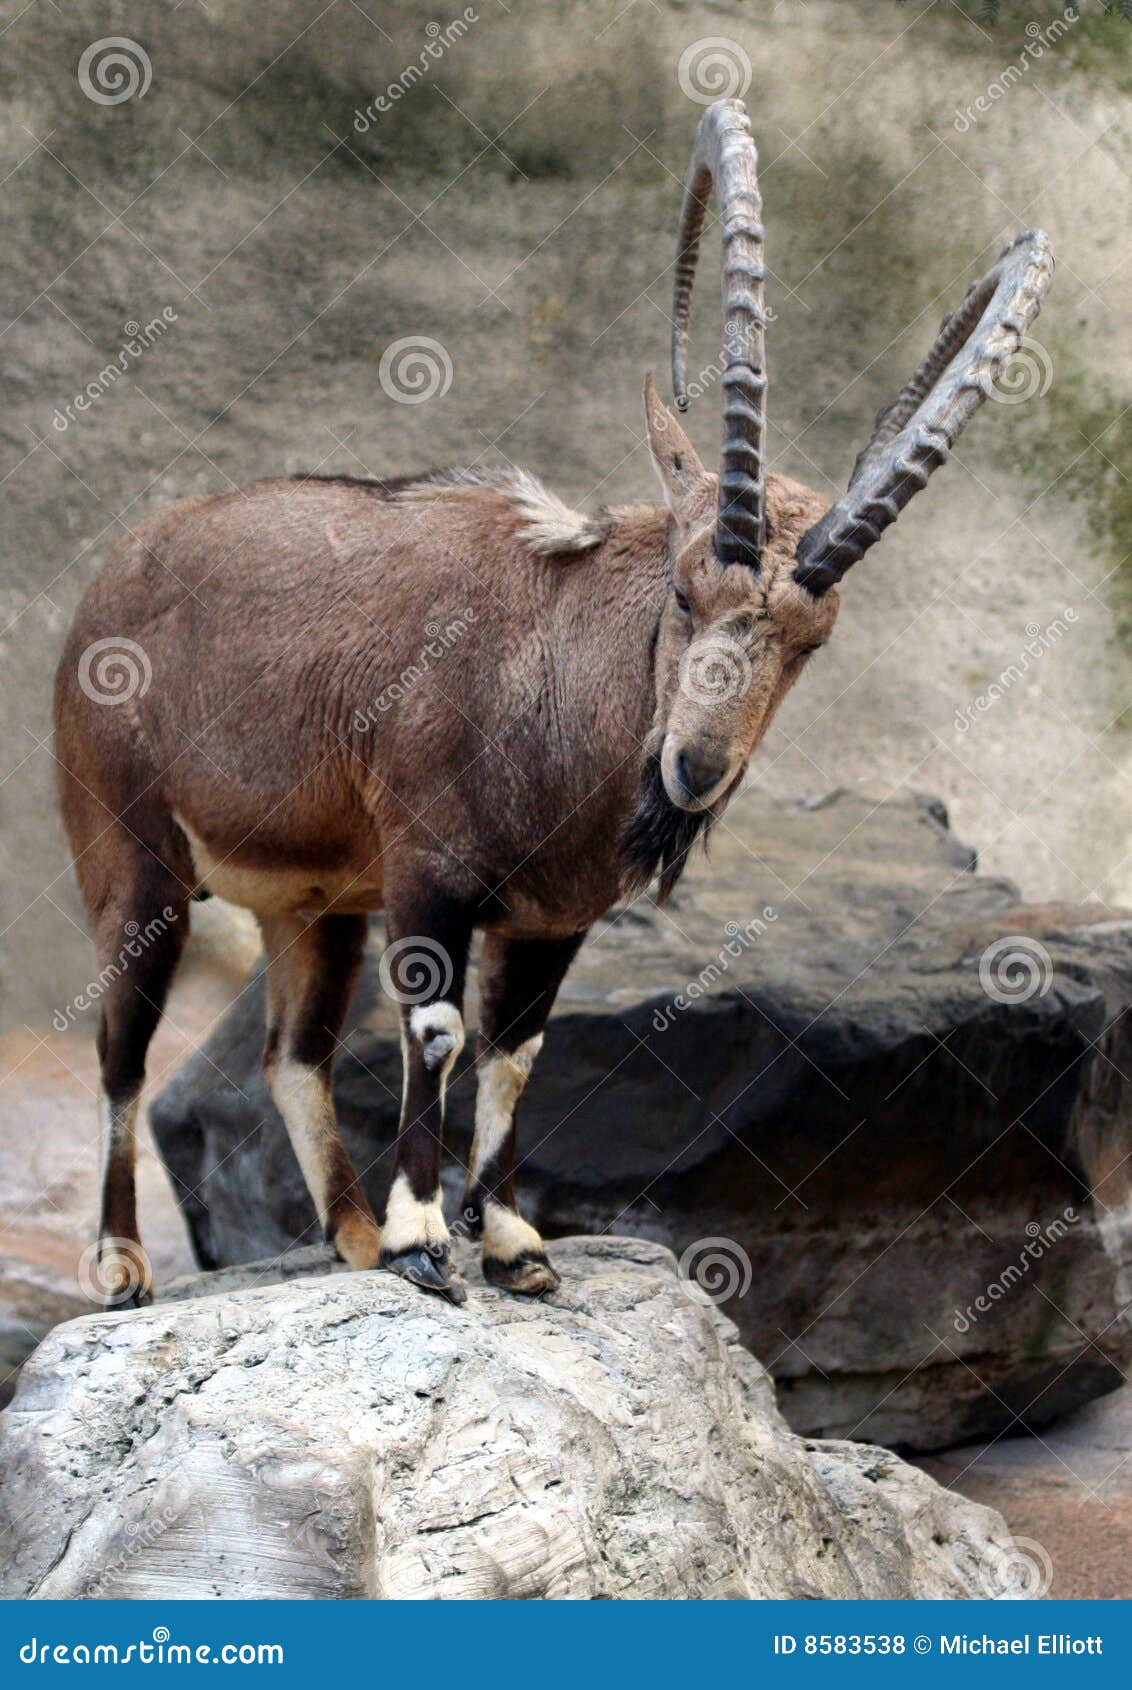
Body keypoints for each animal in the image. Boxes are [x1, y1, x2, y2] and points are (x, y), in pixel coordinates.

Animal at [54, 99, 1053, 1307]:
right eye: (685, 589)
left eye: (810, 644)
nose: (693, 770)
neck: (553, 682)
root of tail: (111, 579)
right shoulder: (428, 873)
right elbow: (438, 1029)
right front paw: (426, 1240)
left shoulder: (548, 920)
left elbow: (517, 1052)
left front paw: (514, 1245)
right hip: (131, 858)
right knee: (122, 1042)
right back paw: (126, 1263)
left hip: (314, 904)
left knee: (290, 1056)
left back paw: (348, 1234)